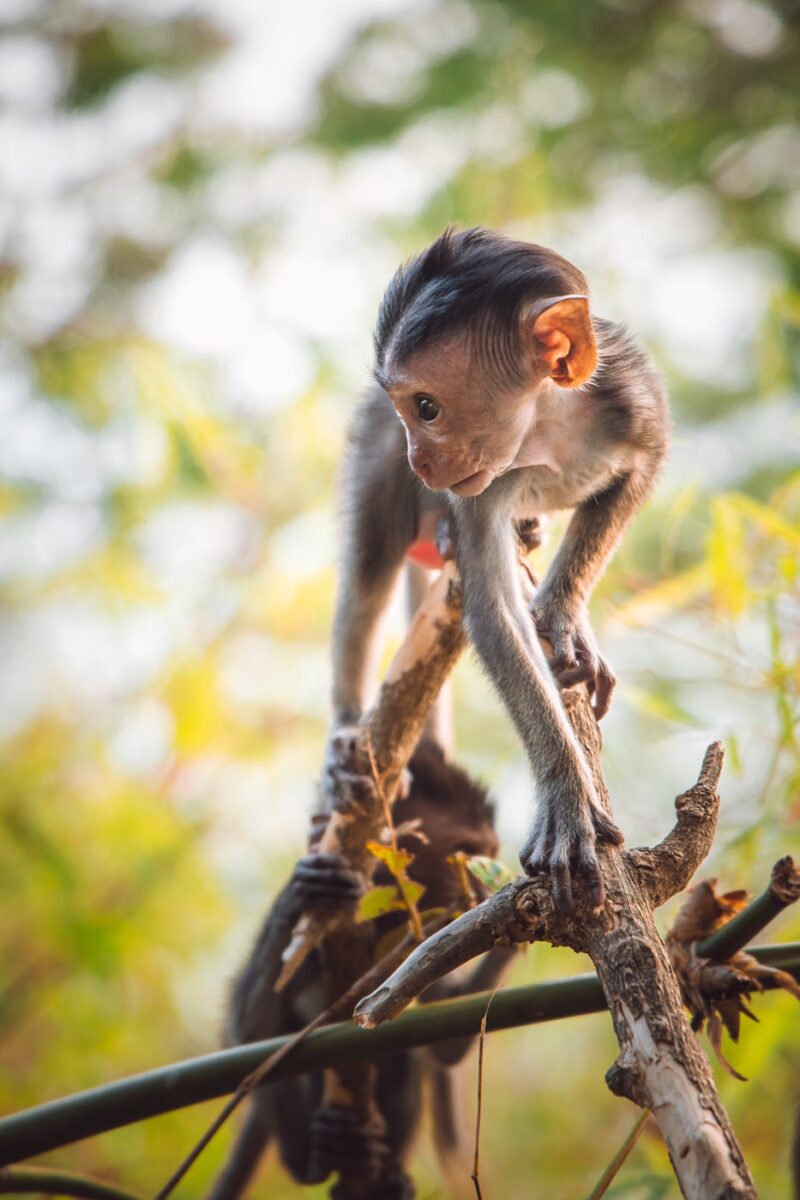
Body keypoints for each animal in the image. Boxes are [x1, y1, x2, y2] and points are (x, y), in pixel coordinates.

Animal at [207, 742, 513, 1200]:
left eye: (488, 859)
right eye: (463, 854)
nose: (479, 893)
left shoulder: (419, 940)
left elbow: (447, 1045)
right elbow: (246, 1033)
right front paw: (299, 895)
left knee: (405, 1058)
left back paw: (381, 1171)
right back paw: (312, 1158)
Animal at [329, 226, 669, 913]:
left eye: (427, 407)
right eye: (407, 410)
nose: (417, 458)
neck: (549, 429)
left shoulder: (636, 404)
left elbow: (637, 474)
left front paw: (564, 617)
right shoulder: (477, 487)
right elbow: (491, 612)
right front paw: (565, 797)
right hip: (373, 449)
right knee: (369, 569)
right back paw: (349, 725)